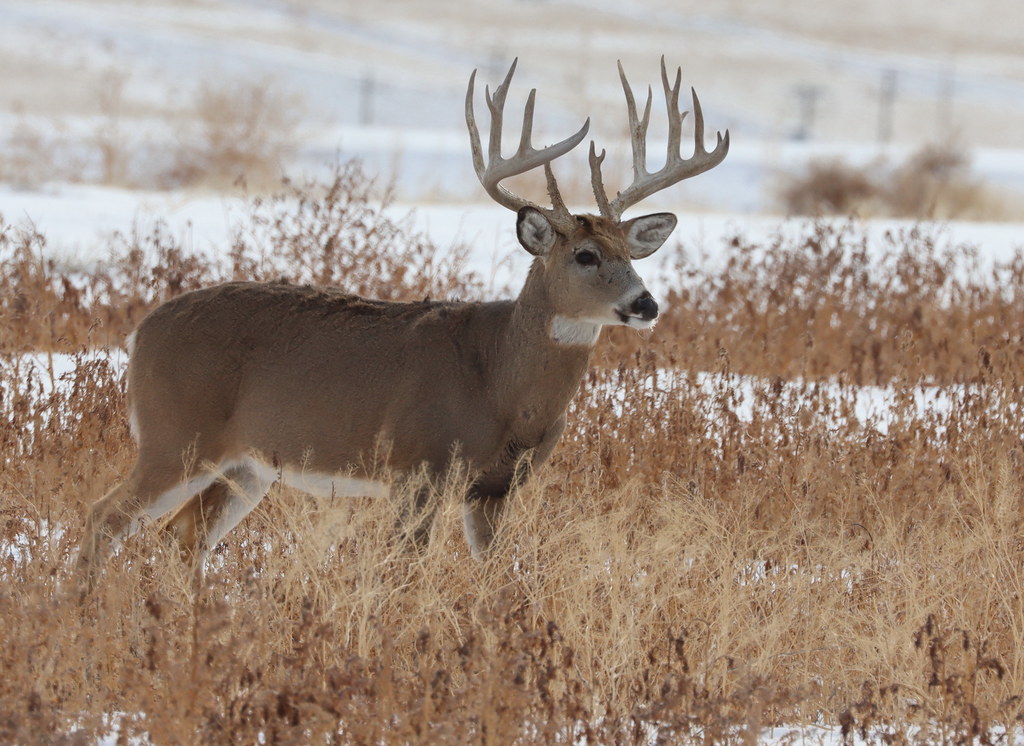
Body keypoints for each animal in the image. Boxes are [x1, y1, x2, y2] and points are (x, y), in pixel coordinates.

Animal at [76, 57, 728, 589]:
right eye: (586, 256)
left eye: (631, 254)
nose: (646, 304)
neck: (501, 384)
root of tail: (142, 329)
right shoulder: (419, 469)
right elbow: (403, 574)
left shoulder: (496, 488)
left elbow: (495, 578)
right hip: (174, 435)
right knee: (103, 517)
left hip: (245, 465)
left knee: (183, 536)